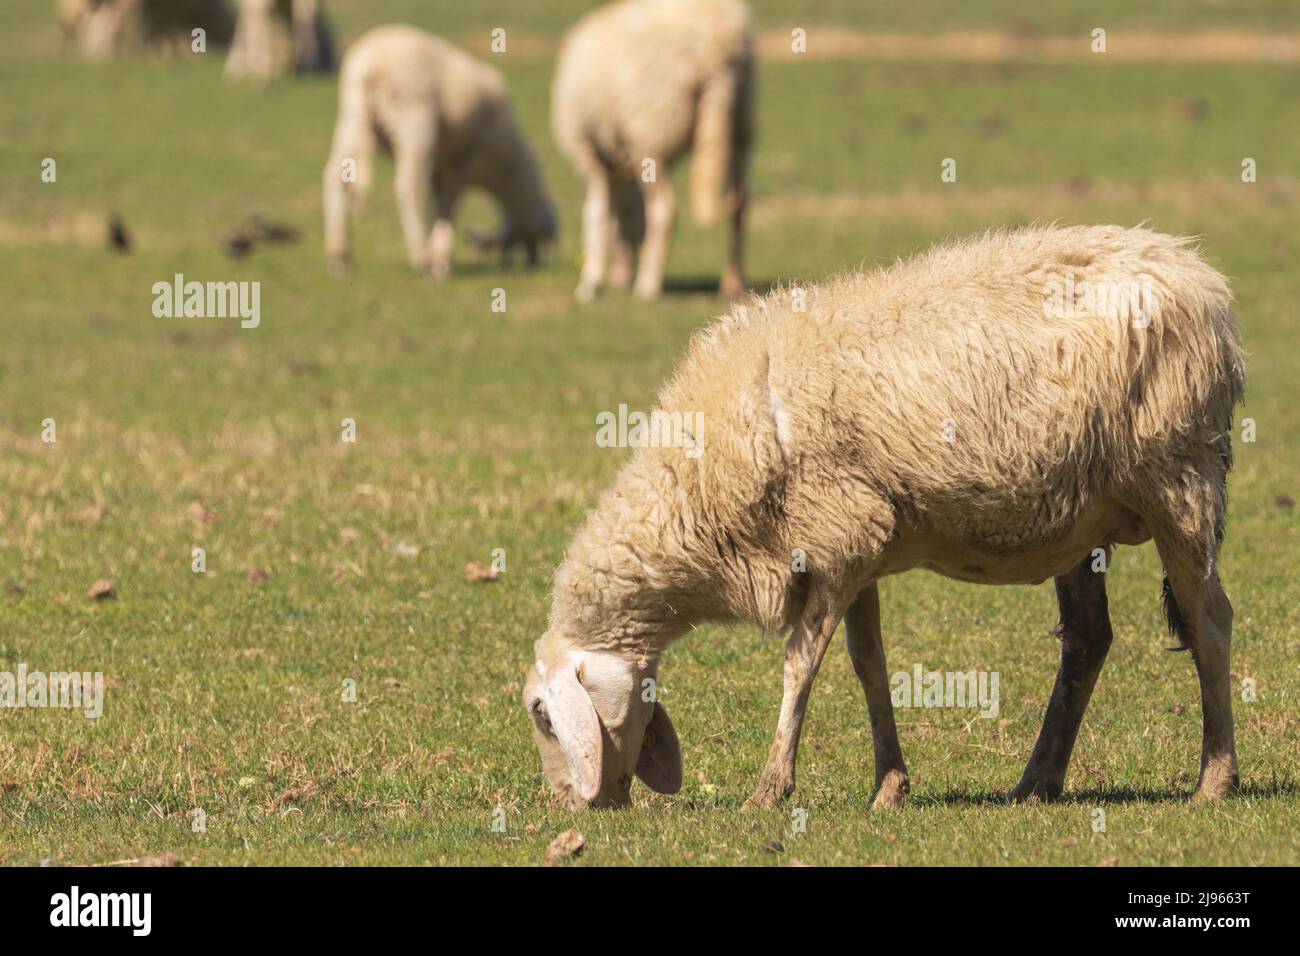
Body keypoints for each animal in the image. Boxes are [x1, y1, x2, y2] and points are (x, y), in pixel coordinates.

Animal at [322, 25, 557, 279]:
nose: (534, 261)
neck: (505, 167)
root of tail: (370, 66)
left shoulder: (443, 166)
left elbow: (439, 205)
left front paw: (440, 252)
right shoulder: (462, 163)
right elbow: (447, 206)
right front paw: (441, 260)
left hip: (352, 119)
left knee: (336, 178)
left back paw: (340, 257)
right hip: (414, 118)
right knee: (409, 186)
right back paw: (422, 258)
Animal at [523, 224, 1245, 810]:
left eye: (541, 715)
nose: (571, 805)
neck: (697, 496)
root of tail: (1200, 279)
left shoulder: (838, 532)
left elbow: (799, 666)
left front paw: (770, 789)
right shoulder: (851, 549)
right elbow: (866, 663)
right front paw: (889, 785)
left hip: (1178, 476)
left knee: (1209, 622)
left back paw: (1214, 778)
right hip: (1083, 521)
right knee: (1089, 640)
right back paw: (1037, 781)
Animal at [551, 0, 755, 302]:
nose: (620, 276)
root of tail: (716, 51)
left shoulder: (590, 152)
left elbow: (596, 213)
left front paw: (589, 282)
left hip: (653, 128)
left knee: (665, 208)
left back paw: (648, 286)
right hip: (741, 125)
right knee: (739, 203)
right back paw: (733, 284)